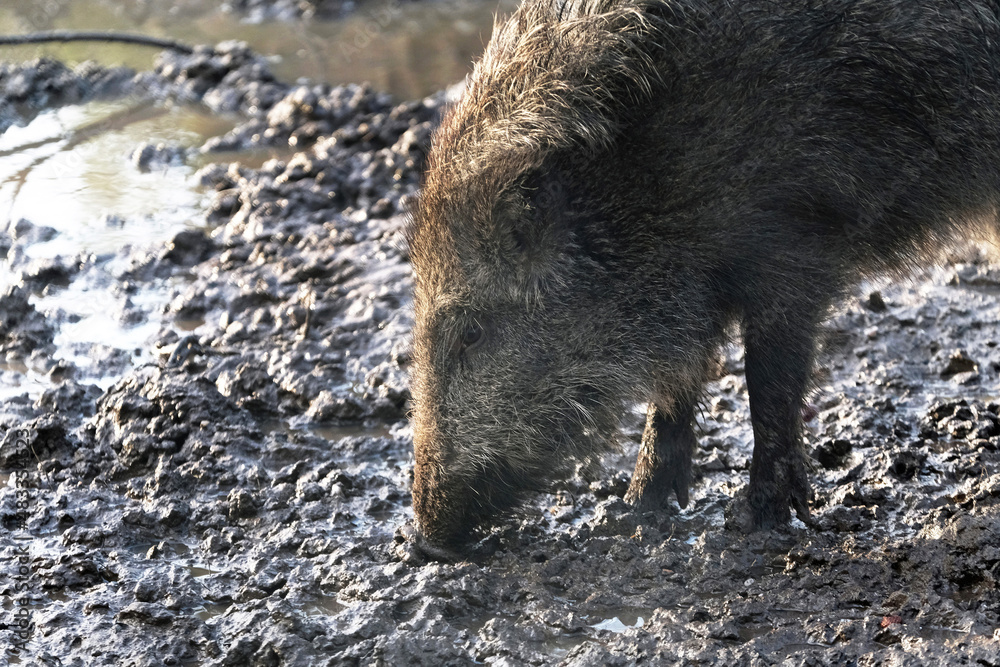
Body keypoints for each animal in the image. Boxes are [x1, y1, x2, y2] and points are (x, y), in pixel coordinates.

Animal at [406, 0, 1000, 555]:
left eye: (472, 332)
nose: (429, 537)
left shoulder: (791, 247)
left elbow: (768, 382)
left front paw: (755, 521)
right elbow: (676, 382)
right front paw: (635, 509)